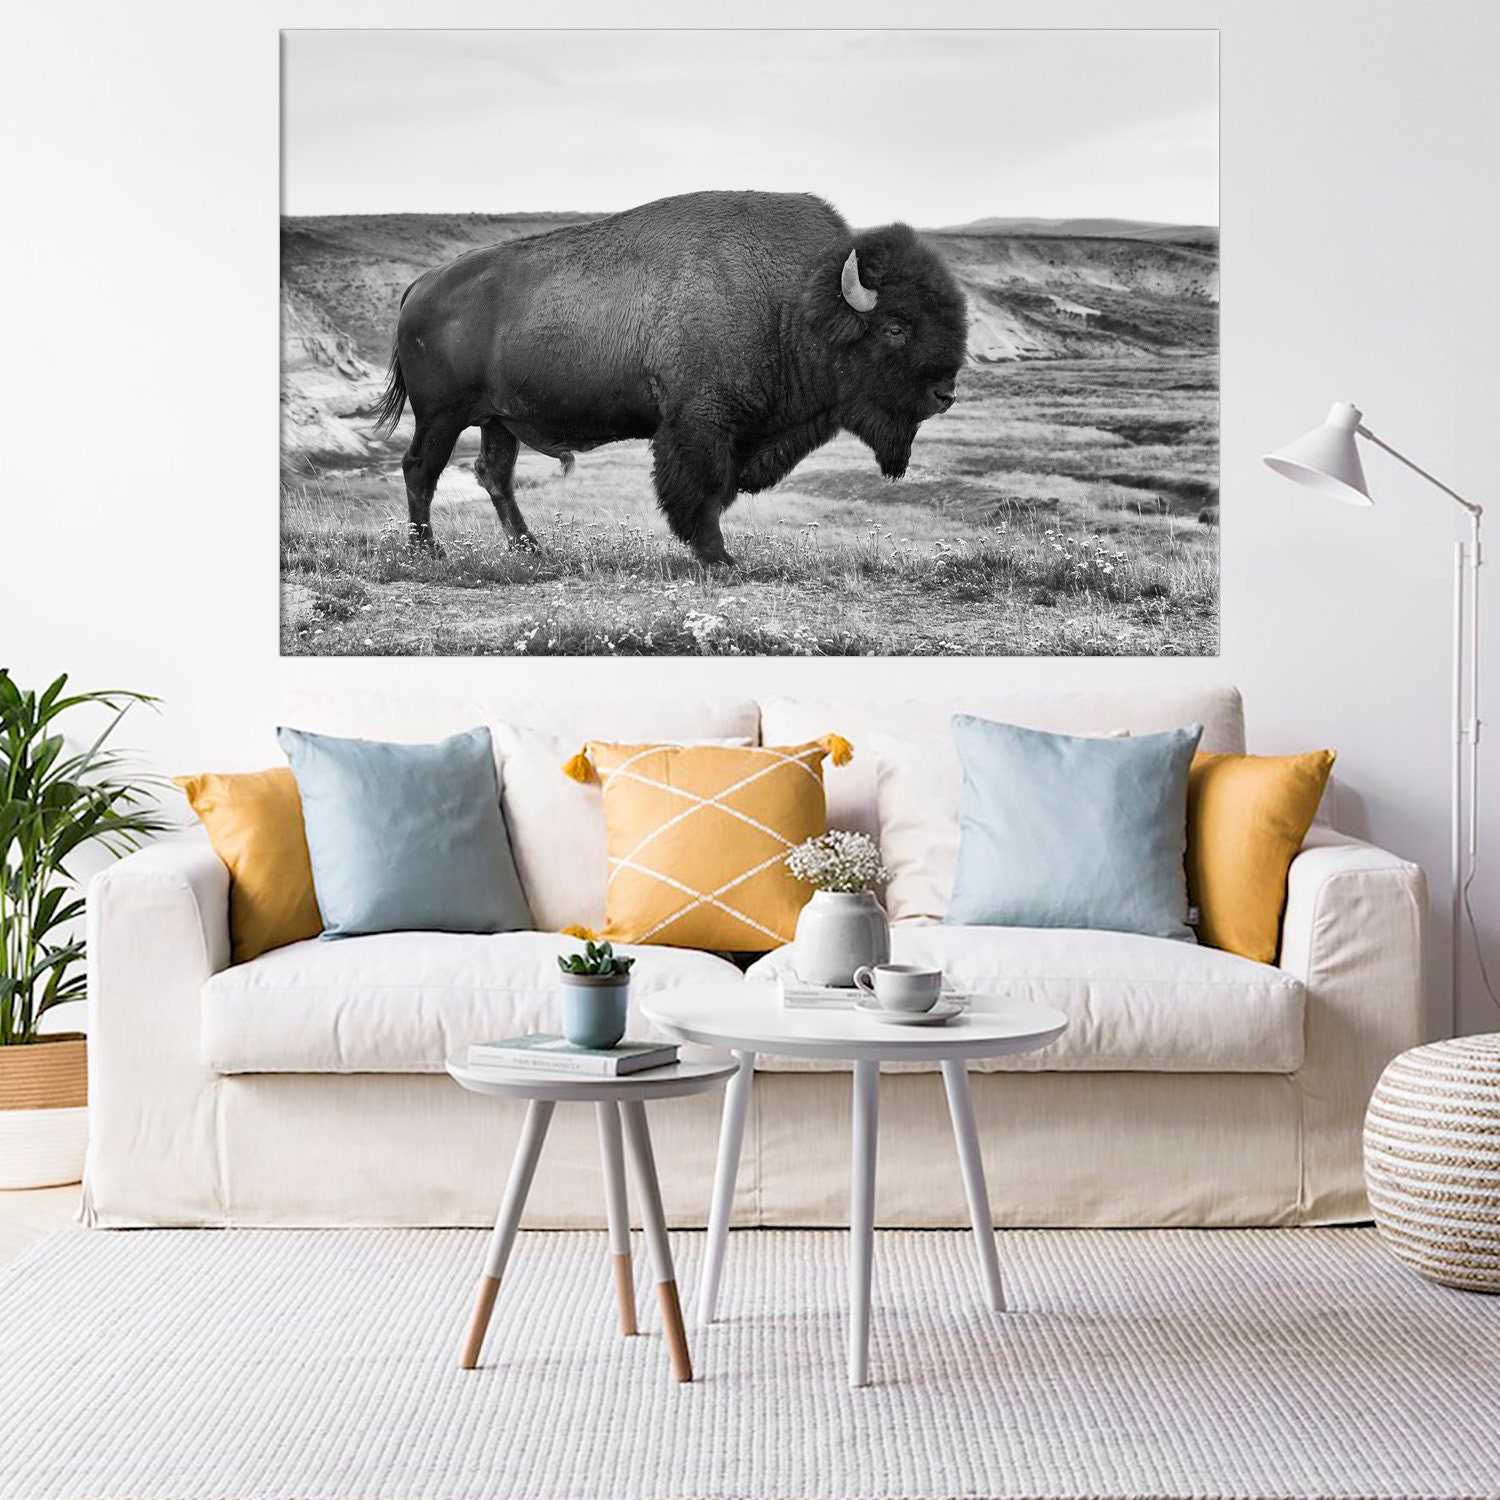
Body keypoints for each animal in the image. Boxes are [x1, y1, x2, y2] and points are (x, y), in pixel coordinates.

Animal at [373, 190, 967, 565]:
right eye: (895, 327)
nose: (945, 394)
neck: (795, 301)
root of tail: (421, 284)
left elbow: (717, 491)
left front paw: (715, 553)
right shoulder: (698, 424)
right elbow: (703, 491)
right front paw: (718, 557)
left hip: (499, 419)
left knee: (494, 475)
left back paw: (531, 549)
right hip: (442, 416)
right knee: (420, 468)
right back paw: (429, 551)